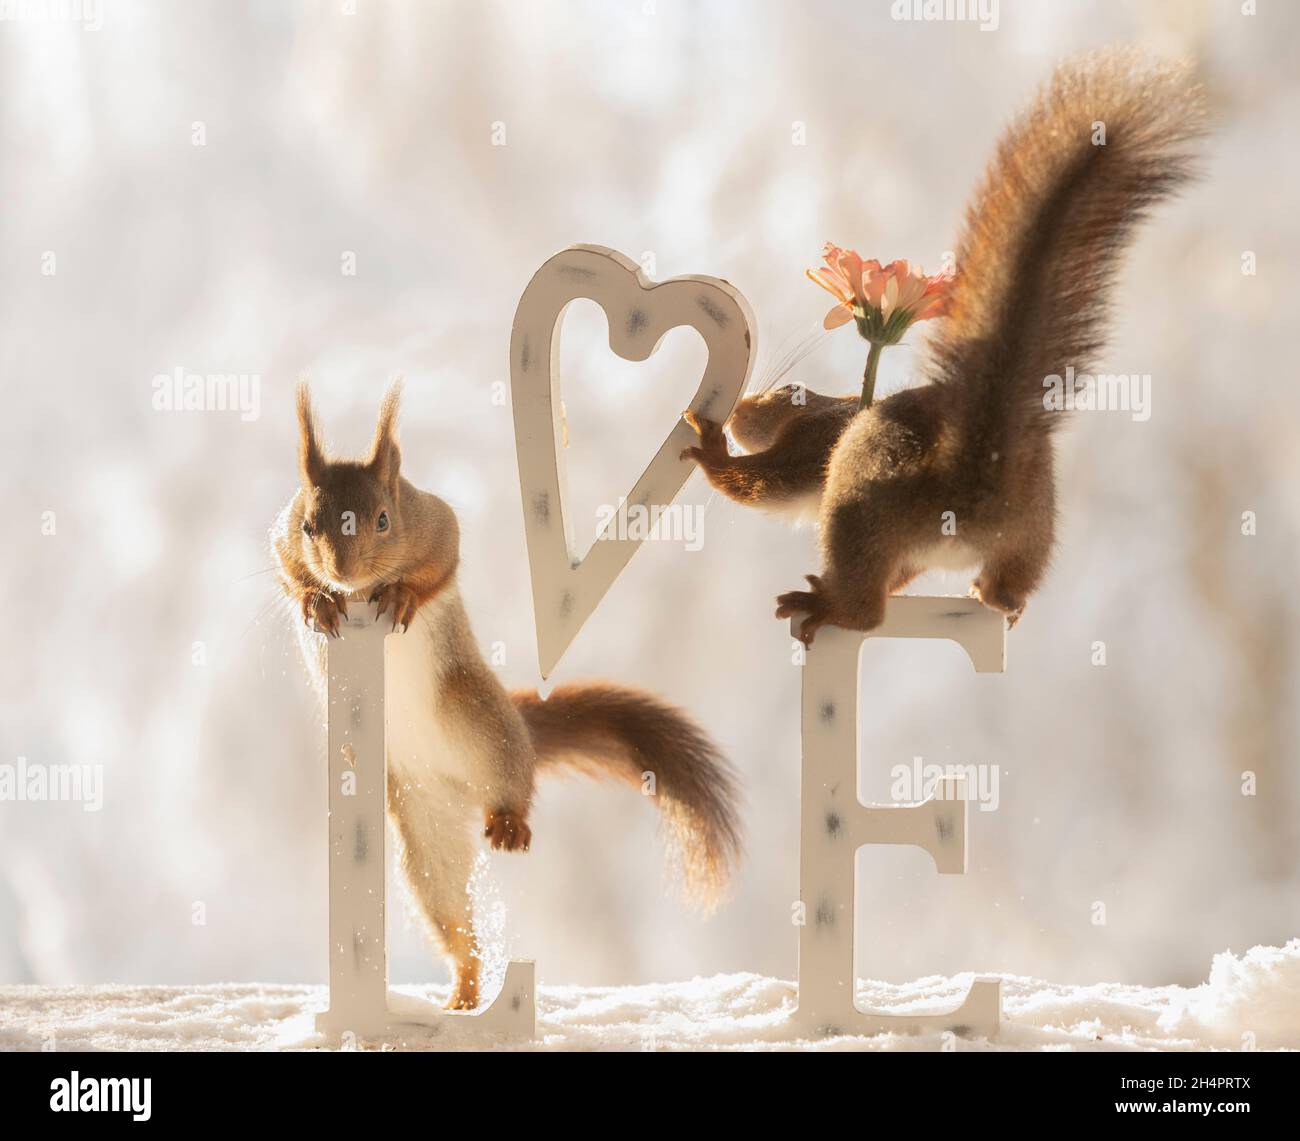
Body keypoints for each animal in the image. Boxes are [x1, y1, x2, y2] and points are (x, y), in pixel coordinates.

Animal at [272, 382, 741, 1010]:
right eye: (308, 528)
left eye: (383, 519)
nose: (342, 572)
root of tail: (459, 788)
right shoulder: (280, 537)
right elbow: (285, 571)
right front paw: (315, 599)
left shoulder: (436, 524)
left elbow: (439, 563)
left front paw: (401, 595)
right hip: (427, 830)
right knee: (454, 919)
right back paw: (464, 991)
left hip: (479, 719)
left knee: (515, 776)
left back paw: (510, 821)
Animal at [682, 51, 1207, 645]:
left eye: (790, 390)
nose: (741, 410)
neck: (836, 407)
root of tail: (974, 475)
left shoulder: (812, 447)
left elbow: (760, 484)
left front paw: (713, 446)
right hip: (1029, 530)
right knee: (1005, 584)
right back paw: (996, 598)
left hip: (860, 503)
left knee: (867, 608)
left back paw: (829, 605)